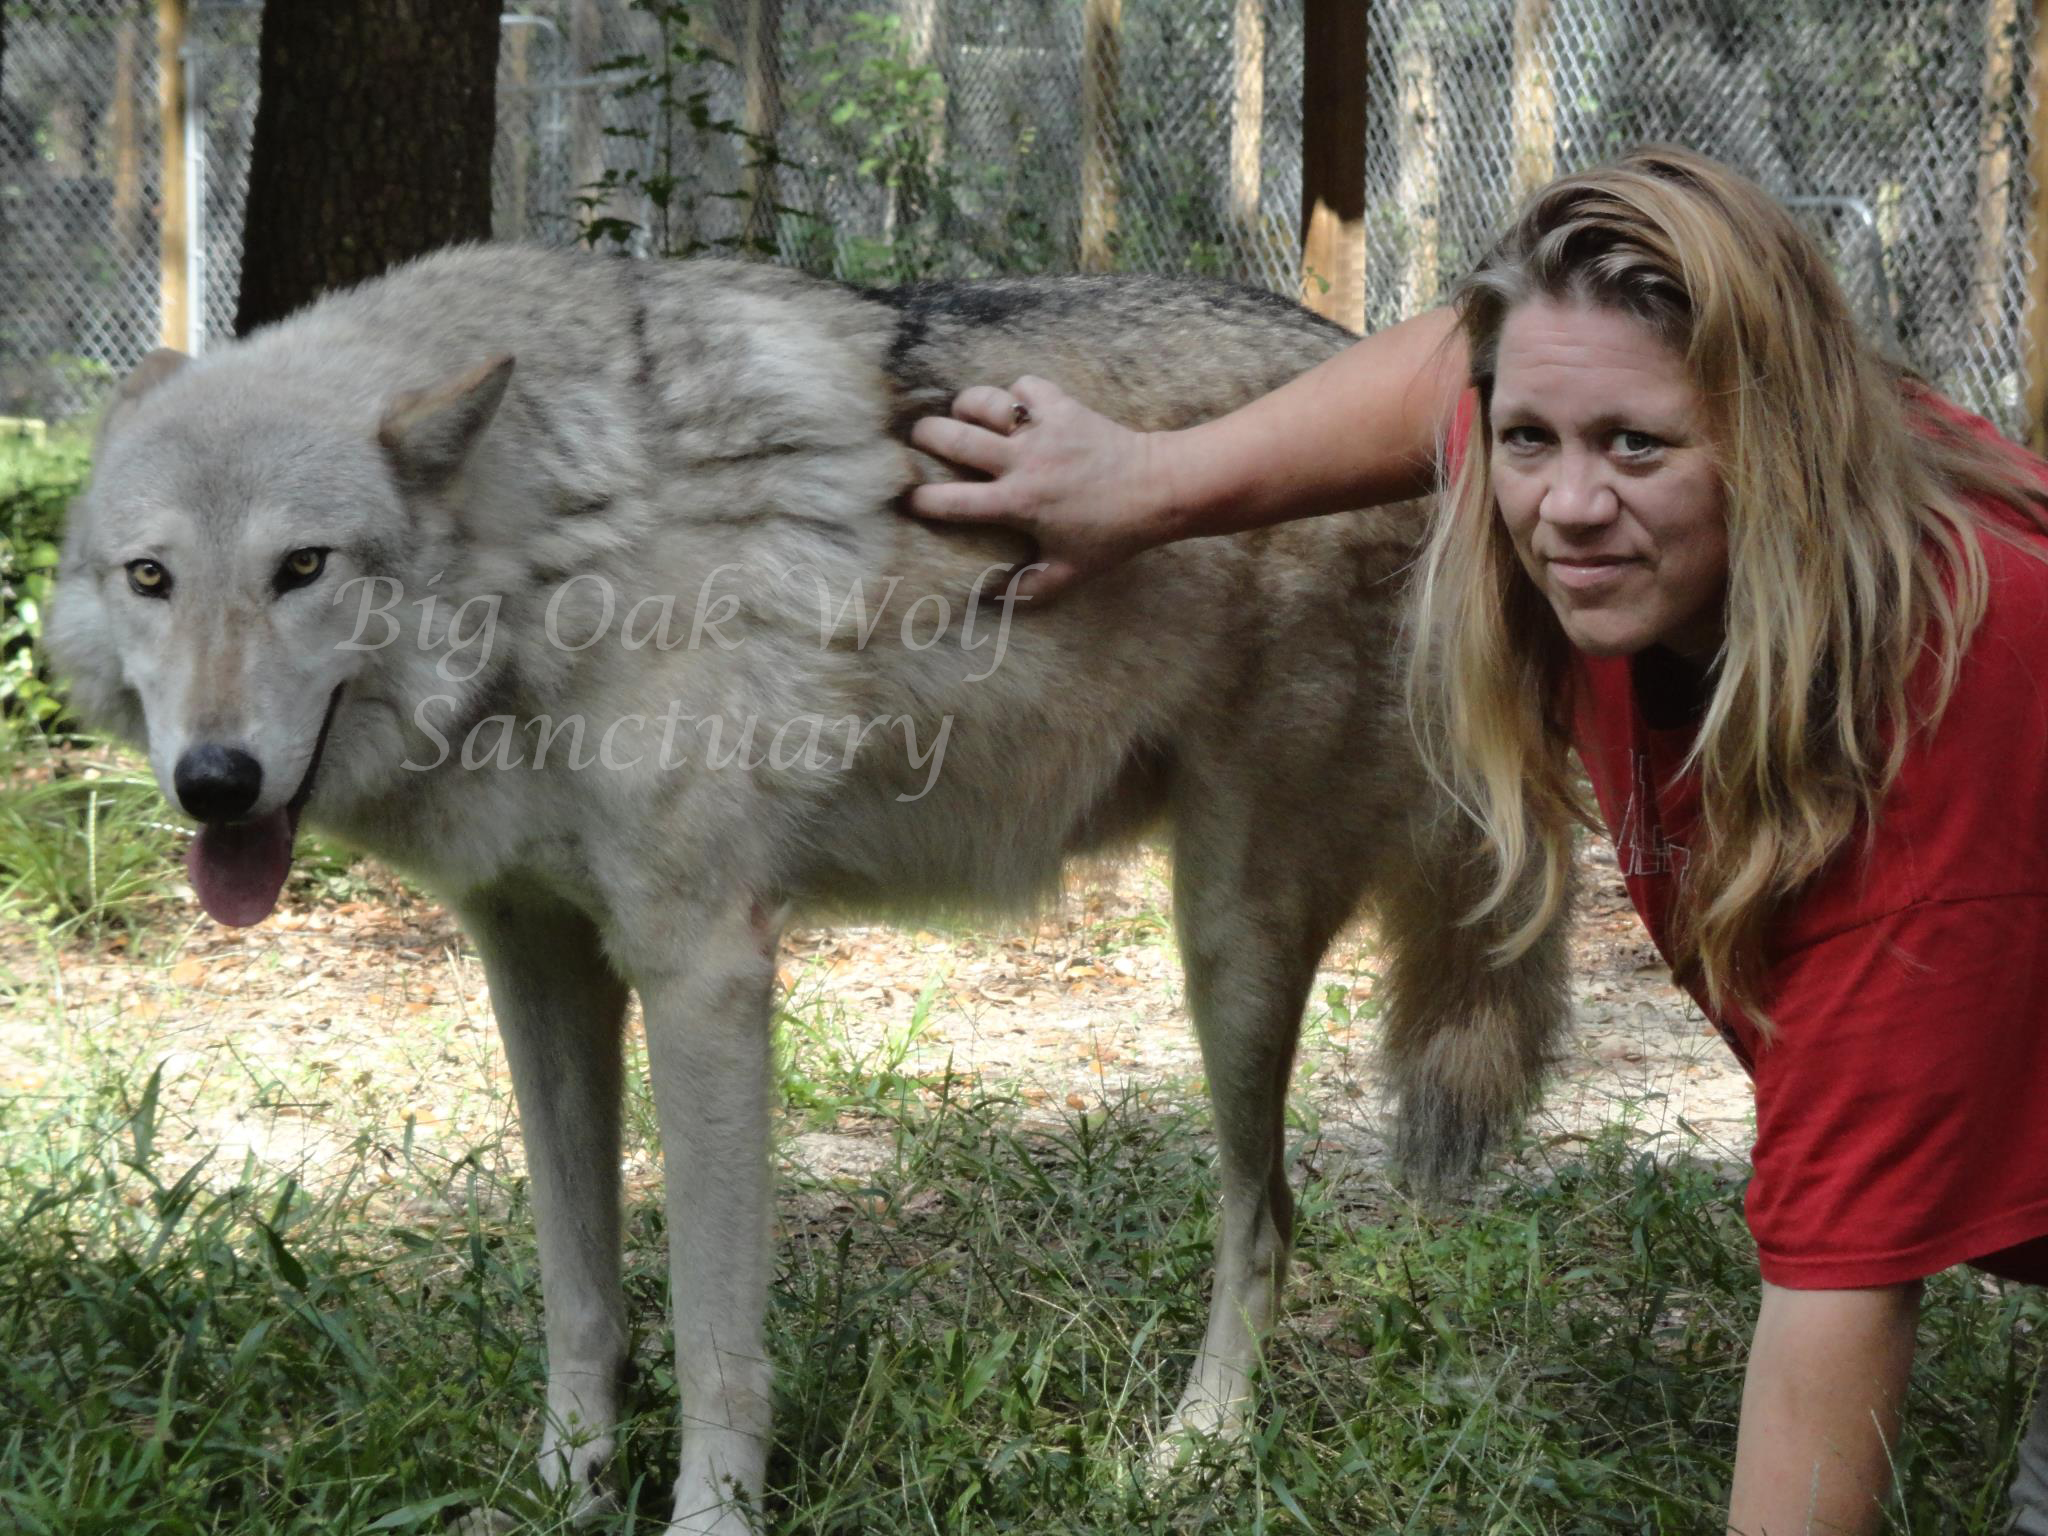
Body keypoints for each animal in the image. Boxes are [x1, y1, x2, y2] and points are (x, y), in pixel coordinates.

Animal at [47, 246, 1570, 1533]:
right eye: (152, 578)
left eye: (302, 568)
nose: (216, 781)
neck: (549, 548)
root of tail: (1404, 375)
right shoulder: (536, 960)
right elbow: (579, 1293)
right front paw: (565, 1492)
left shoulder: (705, 973)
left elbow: (715, 1328)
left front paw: (708, 1517)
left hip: (1228, 951)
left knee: (1268, 1222)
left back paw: (1190, 1456)